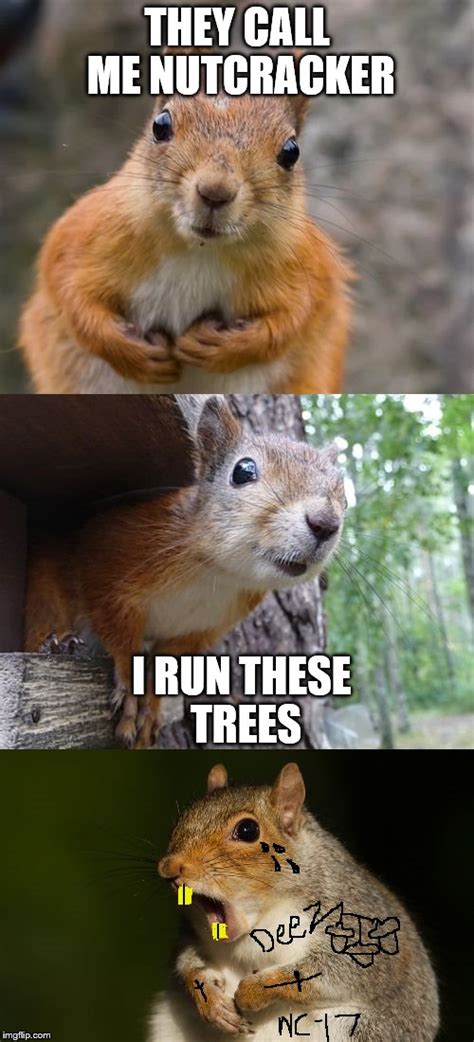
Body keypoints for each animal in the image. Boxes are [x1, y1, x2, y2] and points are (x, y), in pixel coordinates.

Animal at [19, 90, 352, 395]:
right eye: (161, 125)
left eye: (291, 152)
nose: (215, 191)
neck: (198, 251)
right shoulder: (81, 237)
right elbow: (71, 296)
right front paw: (136, 354)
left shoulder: (308, 268)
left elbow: (293, 320)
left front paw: (221, 347)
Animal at [24, 396, 346, 748]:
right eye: (243, 471)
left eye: (341, 488)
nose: (326, 523)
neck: (218, 573)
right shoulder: (111, 561)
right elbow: (117, 627)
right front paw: (130, 685)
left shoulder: (198, 630)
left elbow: (164, 666)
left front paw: (150, 708)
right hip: (44, 592)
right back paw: (56, 645)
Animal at [151, 762, 439, 1042]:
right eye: (181, 819)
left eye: (247, 830)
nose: (169, 867)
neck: (262, 918)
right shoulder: (192, 934)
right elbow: (188, 963)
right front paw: (211, 1001)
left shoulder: (360, 929)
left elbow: (334, 973)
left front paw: (253, 991)